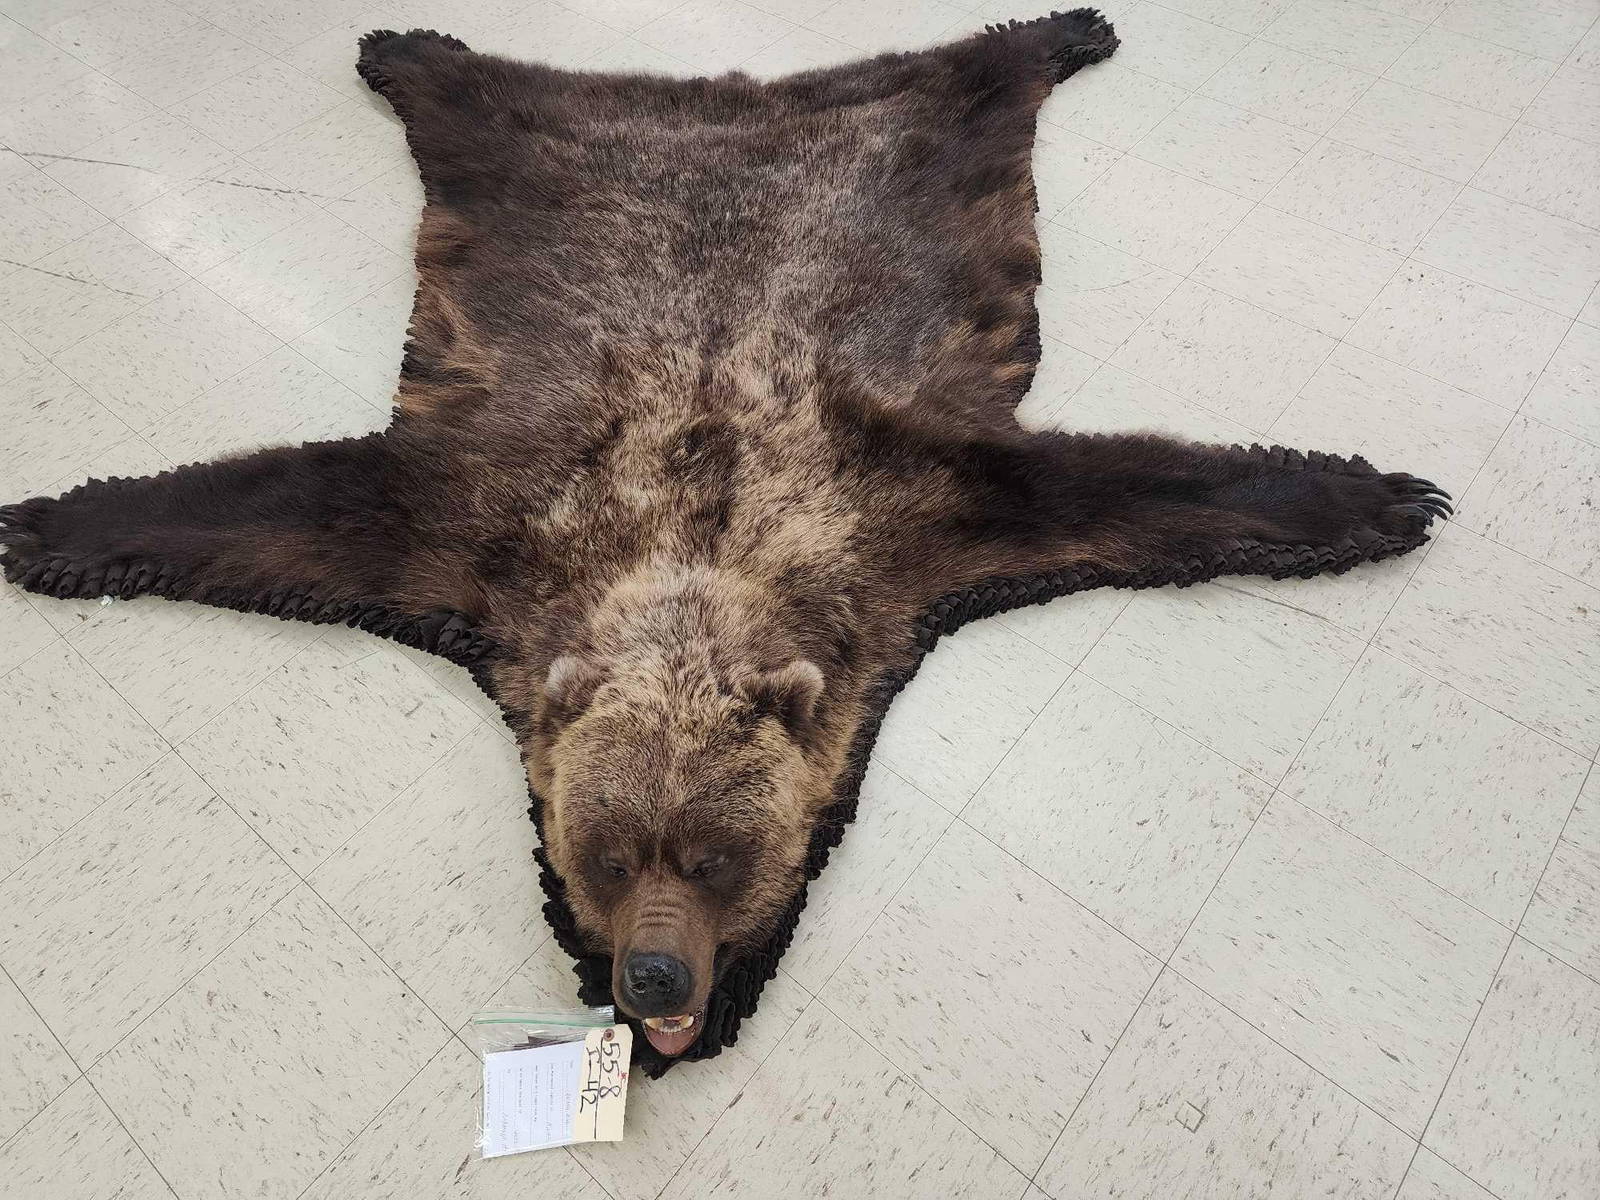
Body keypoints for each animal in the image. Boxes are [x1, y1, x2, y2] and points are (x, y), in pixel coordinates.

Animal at [0, 13, 1448, 1063]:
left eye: (711, 854)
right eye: (608, 853)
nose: (652, 978)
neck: (694, 560)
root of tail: (727, 100)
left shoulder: (918, 510)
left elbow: (1126, 488)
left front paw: (1375, 495)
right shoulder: (475, 521)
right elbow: (273, 505)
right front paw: (45, 518)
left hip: (911, 142)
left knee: (959, 73)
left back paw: (1062, 30)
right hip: (531, 157)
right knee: (490, 97)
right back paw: (408, 47)